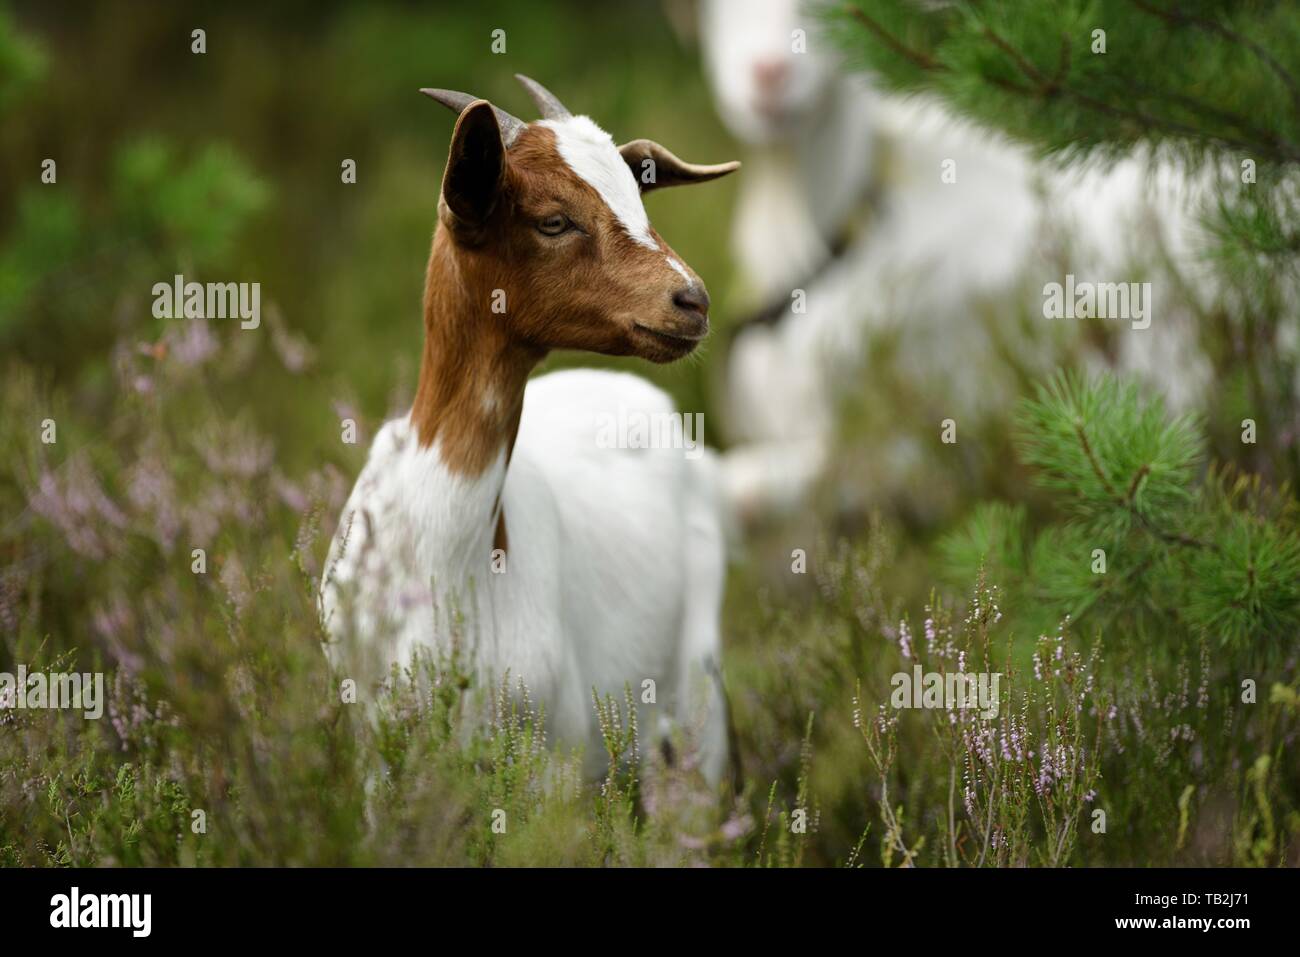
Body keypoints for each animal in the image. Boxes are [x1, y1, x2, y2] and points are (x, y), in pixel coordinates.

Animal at [320, 76, 740, 785]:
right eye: (553, 220)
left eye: (638, 199)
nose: (692, 300)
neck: (443, 564)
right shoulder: (376, 755)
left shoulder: (551, 761)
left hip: (696, 698)